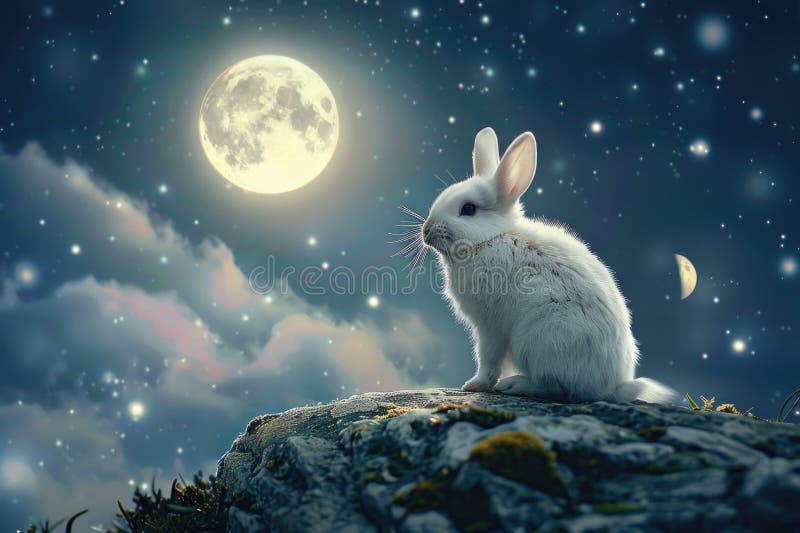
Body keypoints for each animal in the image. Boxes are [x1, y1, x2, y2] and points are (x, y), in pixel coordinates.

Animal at [421, 127, 675, 404]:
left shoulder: (490, 326)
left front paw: (474, 385)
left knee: (556, 388)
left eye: (468, 209)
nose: (426, 231)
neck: (491, 238)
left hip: (538, 340)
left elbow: (489, 359)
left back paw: (516, 385)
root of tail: (611, 386)